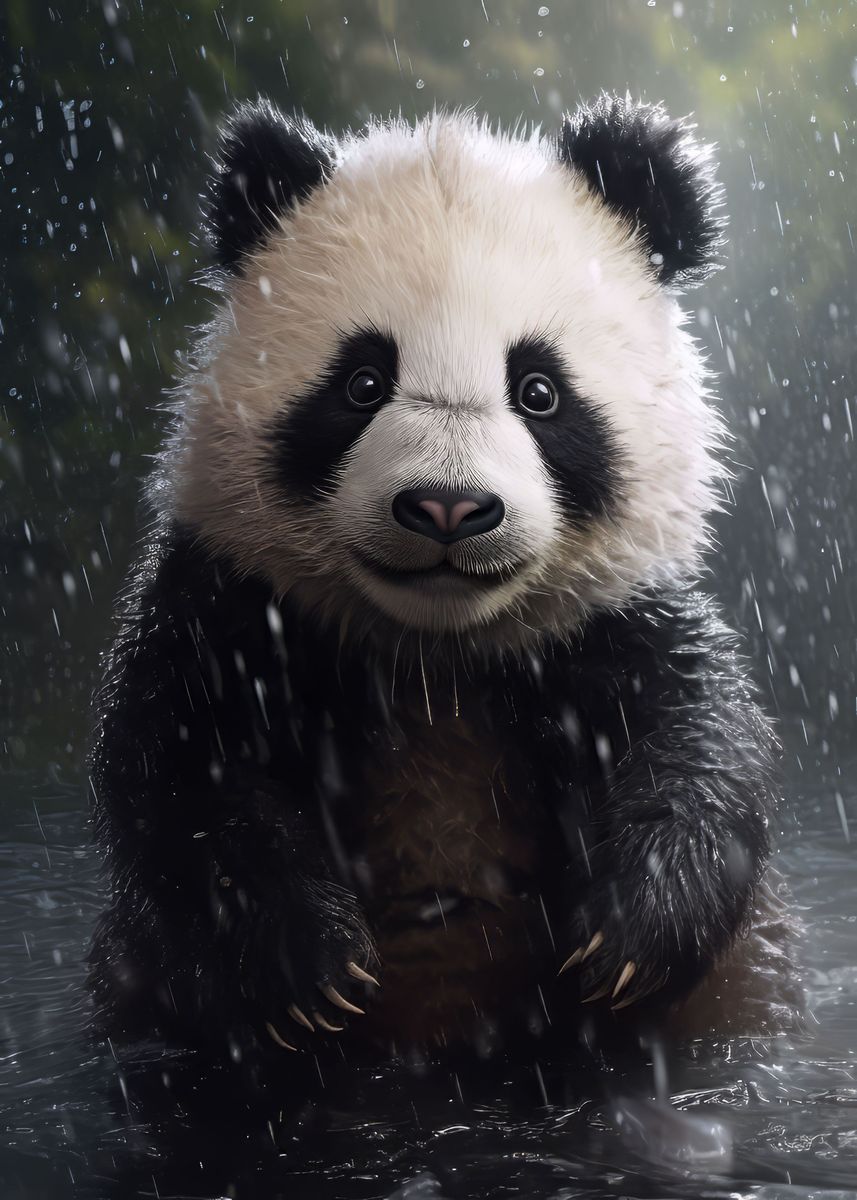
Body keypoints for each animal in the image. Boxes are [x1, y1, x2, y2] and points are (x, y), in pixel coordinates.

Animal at [88, 95, 798, 1065]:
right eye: (361, 382)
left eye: (538, 391)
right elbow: (181, 769)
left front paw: (626, 934)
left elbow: (701, 742)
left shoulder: (616, 617)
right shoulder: (233, 603)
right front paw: (310, 965)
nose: (448, 508)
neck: (437, 654)